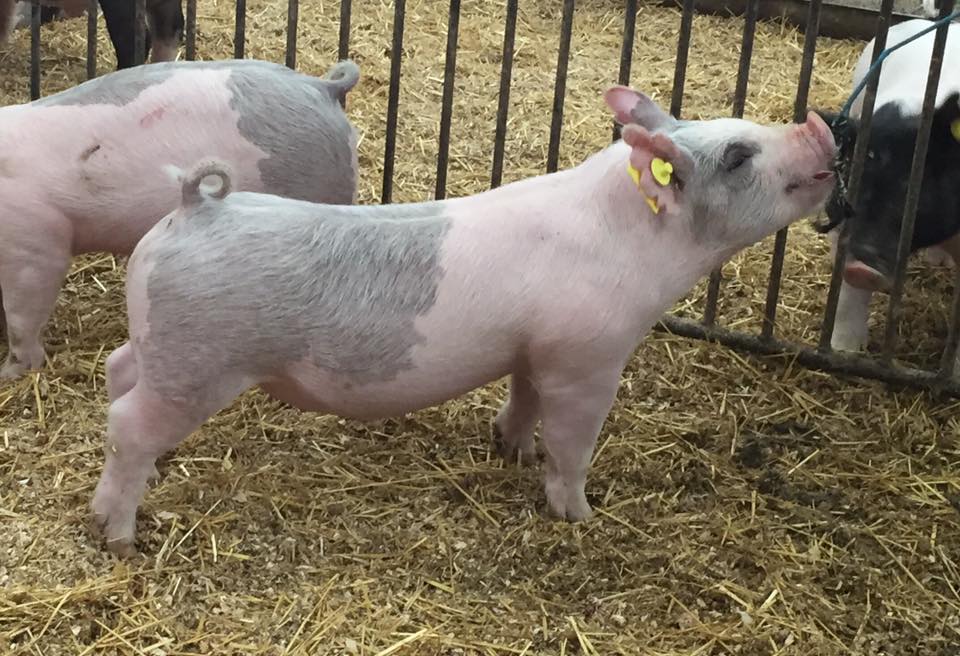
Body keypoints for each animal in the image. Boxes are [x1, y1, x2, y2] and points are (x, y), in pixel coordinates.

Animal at [89, 86, 837, 556]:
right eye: (738, 156)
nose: (820, 124)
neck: (634, 240)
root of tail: (195, 208)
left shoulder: (536, 350)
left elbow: (523, 400)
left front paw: (511, 450)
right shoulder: (587, 356)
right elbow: (573, 441)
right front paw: (580, 515)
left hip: (159, 346)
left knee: (117, 371)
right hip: (198, 363)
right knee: (127, 424)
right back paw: (120, 538)